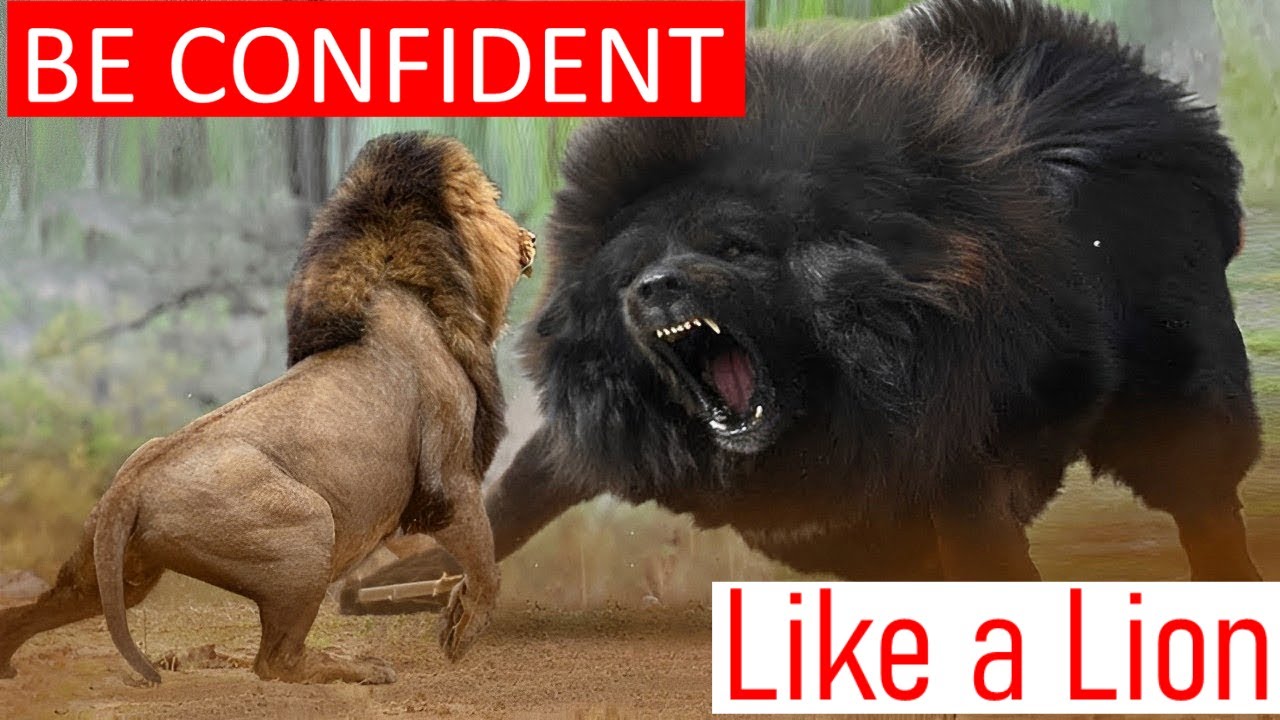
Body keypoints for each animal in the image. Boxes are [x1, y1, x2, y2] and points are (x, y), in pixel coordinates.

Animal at [0, 132, 536, 684]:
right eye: (492, 204)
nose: (530, 237)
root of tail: (129, 487)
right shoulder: (448, 481)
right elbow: (486, 563)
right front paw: (462, 630)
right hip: (309, 530)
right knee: (275, 661)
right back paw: (357, 667)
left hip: (110, 575)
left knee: (28, 613)